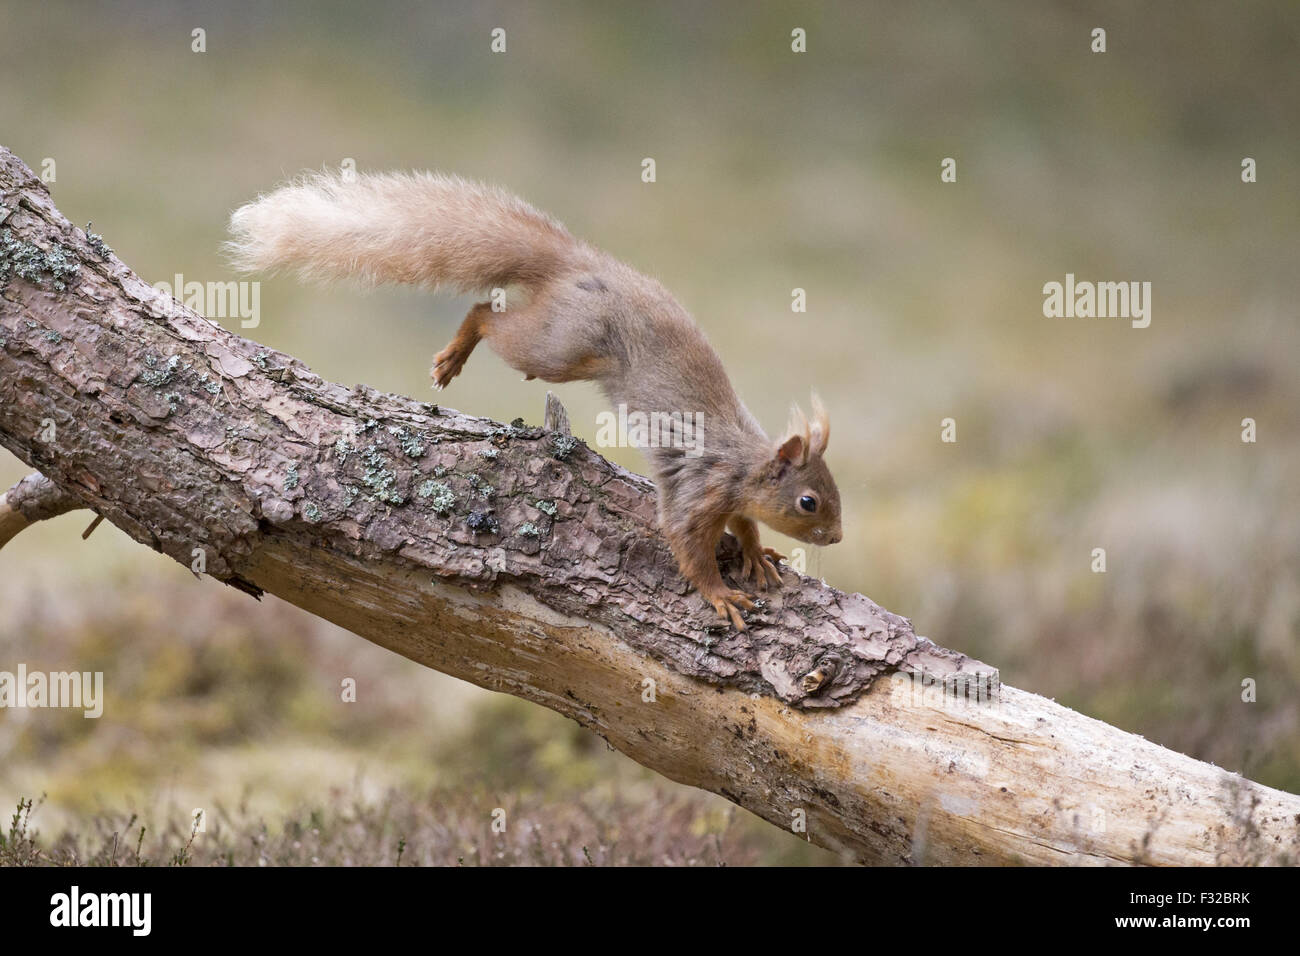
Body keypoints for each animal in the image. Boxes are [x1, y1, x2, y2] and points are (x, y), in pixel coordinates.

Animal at [227, 170, 842, 629]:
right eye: (809, 502)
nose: (835, 538)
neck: (745, 463)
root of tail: (581, 262)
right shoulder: (700, 488)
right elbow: (688, 543)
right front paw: (720, 594)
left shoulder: (729, 496)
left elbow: (745, 525)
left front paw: (758, 555)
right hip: (561, 347)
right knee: (487, 314)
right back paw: (454, 354)